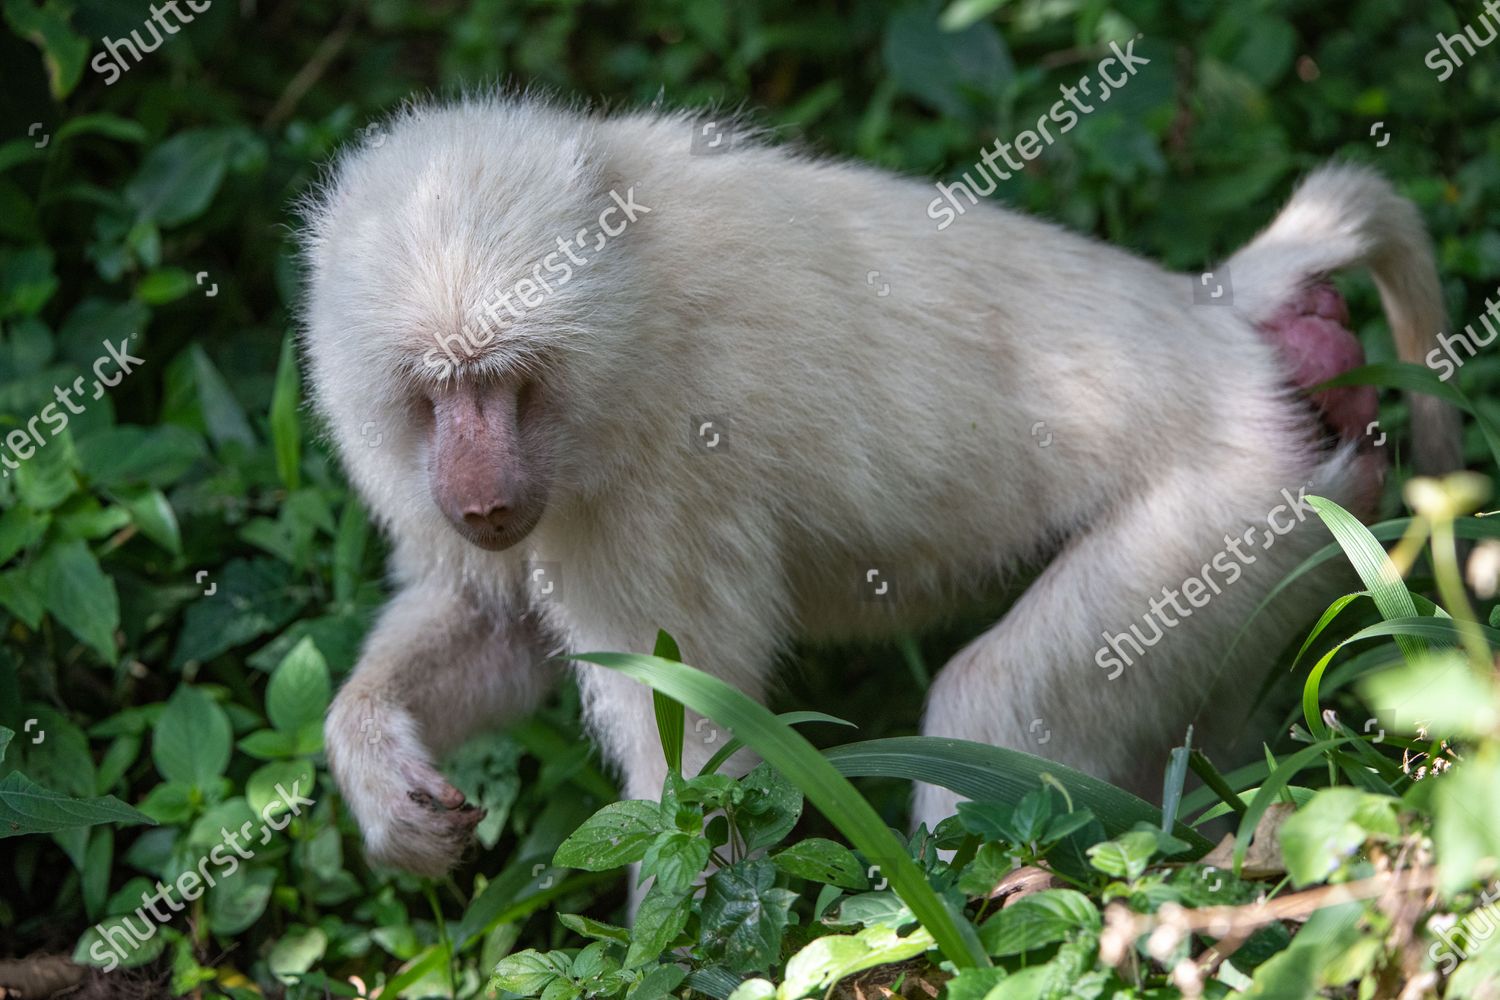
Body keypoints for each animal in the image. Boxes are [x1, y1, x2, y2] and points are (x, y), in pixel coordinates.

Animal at [300, 95, 1459, 877]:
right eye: (436, 391)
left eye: (504, 383)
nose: (479, 499)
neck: (630, 291)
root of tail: (1214, 316)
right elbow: (499, 631)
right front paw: (381, 769)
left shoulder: (658, 485)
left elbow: (702, 770)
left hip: (1237, 499)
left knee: (989, 706)